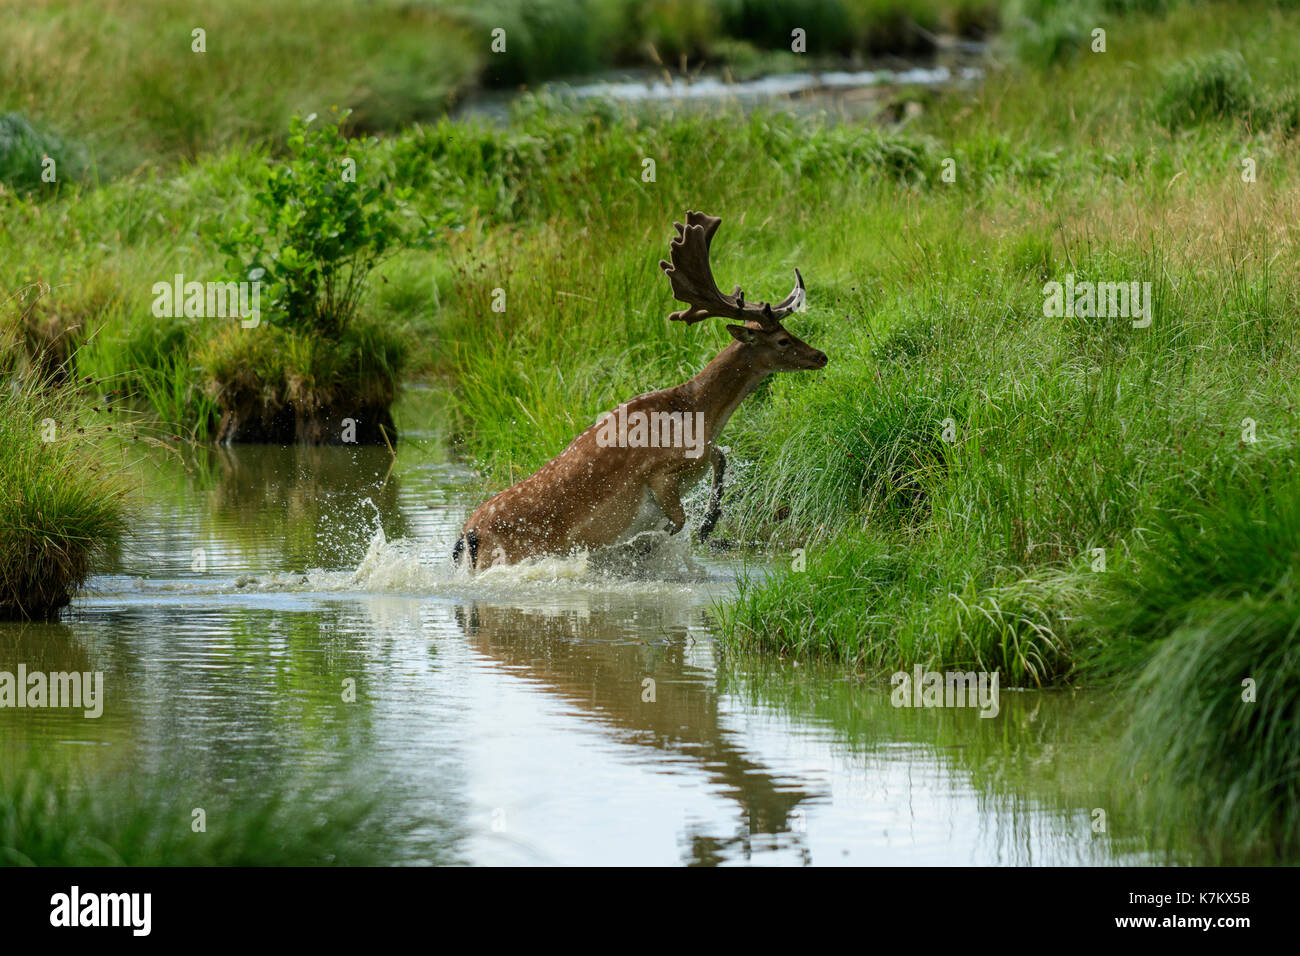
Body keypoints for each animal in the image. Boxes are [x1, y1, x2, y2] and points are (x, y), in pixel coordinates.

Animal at [452, 210, 827, 570]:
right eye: (782, 339)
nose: (820, 356)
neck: (697, 413)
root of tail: (468, 535)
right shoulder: (658, 471)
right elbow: (677, 519)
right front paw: (645, 545)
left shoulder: (702, 454)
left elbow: (720, 458)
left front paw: (707, 525)